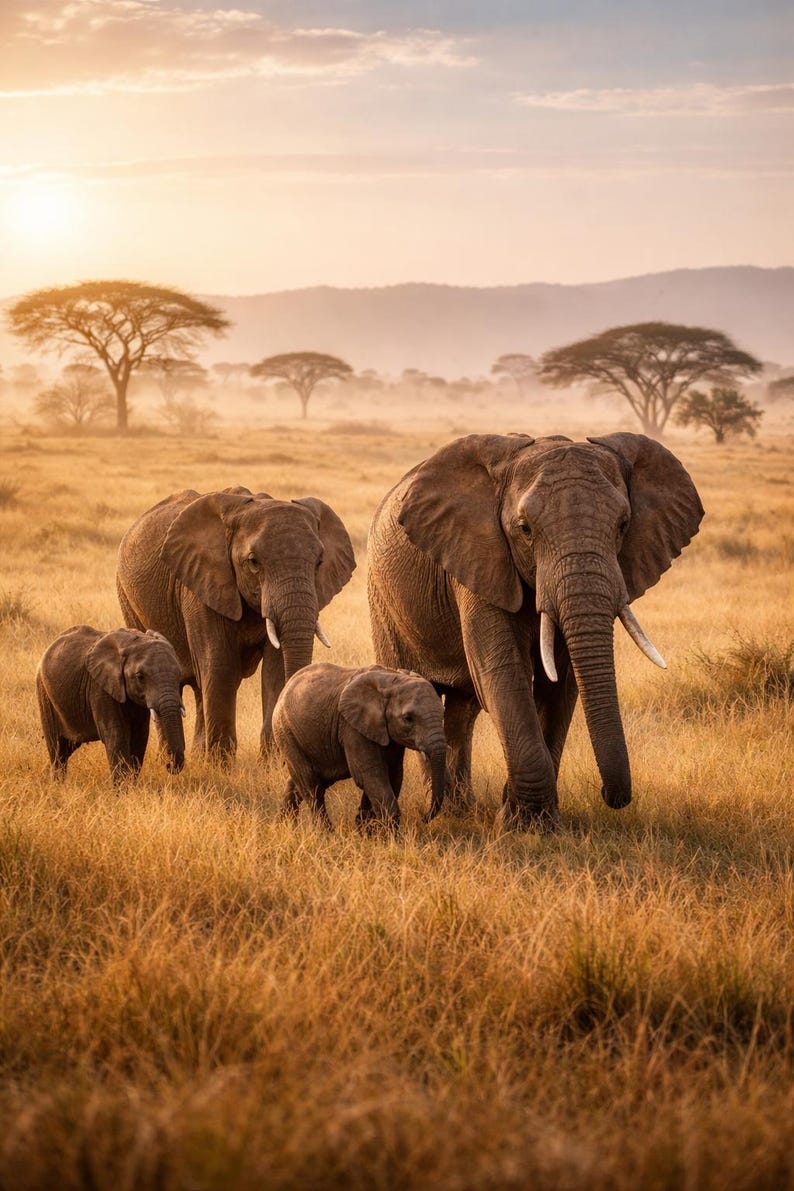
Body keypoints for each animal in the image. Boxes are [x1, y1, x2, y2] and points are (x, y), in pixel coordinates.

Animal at [36, 626, 186, 783]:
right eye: (140, 677)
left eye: (179, 674)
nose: (168, 763)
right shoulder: (99, 687)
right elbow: (116, 734)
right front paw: (123, 788)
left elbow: (140, 735)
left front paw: (132, 785)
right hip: (44, 694)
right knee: (57, 749)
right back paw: (57, 784)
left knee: (68, 748)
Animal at [116, 487, 356, 760]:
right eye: (253, 561)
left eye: (319, 562)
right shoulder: (201, 587)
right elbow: (220, 665)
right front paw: (221, 764)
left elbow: (275, 668)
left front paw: (272, 763)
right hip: (127, 599)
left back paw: (199, 755)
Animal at [273, 663, 447, 831]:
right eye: (408, 718)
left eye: (443, 712)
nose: (424, 817)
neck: (393, 678)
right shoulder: (352, 728)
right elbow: (370, 775)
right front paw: (388, 836)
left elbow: (394, 774)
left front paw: (364, 828)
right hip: (286, 732)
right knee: (311, 786)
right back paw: (325, 834)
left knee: (299, 783)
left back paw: (283, 828)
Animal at [367, 432, 704, 827]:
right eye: (525, 529)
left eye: (623, 525)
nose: (610, 796)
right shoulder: (479, 560)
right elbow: (503, 673)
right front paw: (521, 824)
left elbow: (561, 684)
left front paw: (534, 820)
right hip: (384, 603)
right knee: (421, 689)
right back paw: (441, 812)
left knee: (464, 708)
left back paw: (461, 809)